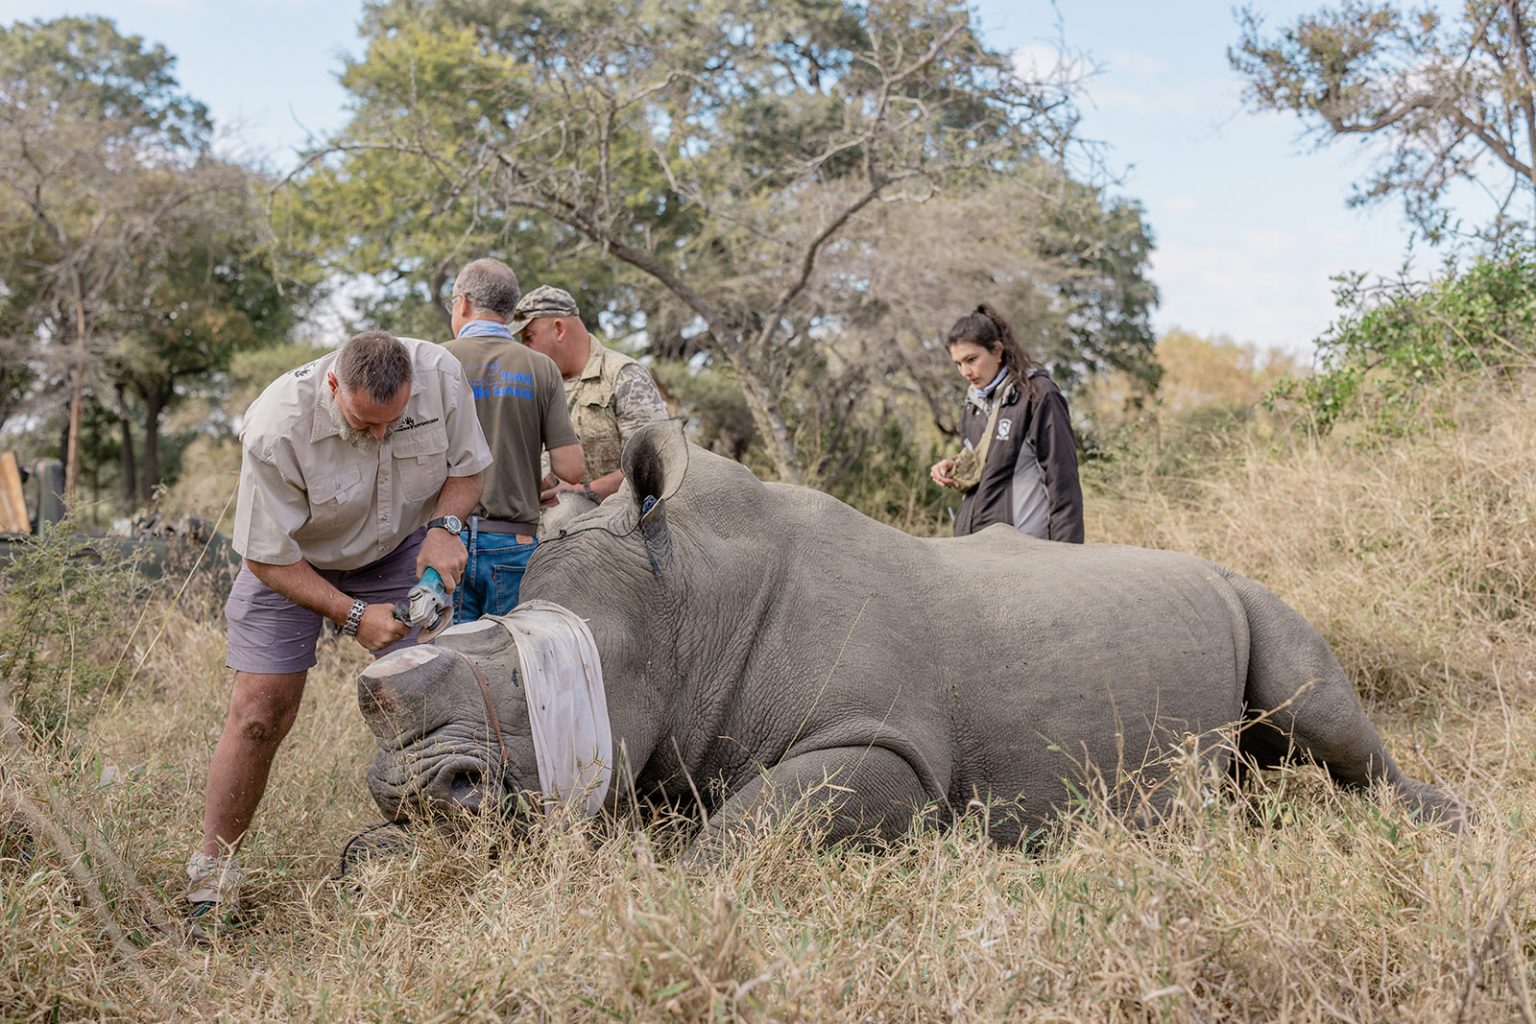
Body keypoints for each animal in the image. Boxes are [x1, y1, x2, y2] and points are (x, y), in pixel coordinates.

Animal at [357, 421, 1465, 856]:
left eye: (521, 678)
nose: (408, 792)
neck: (689, 607)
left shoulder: (893, 750)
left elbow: (749, 829)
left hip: (1250, 592)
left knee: (1309, 702)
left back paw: (1434, 819)